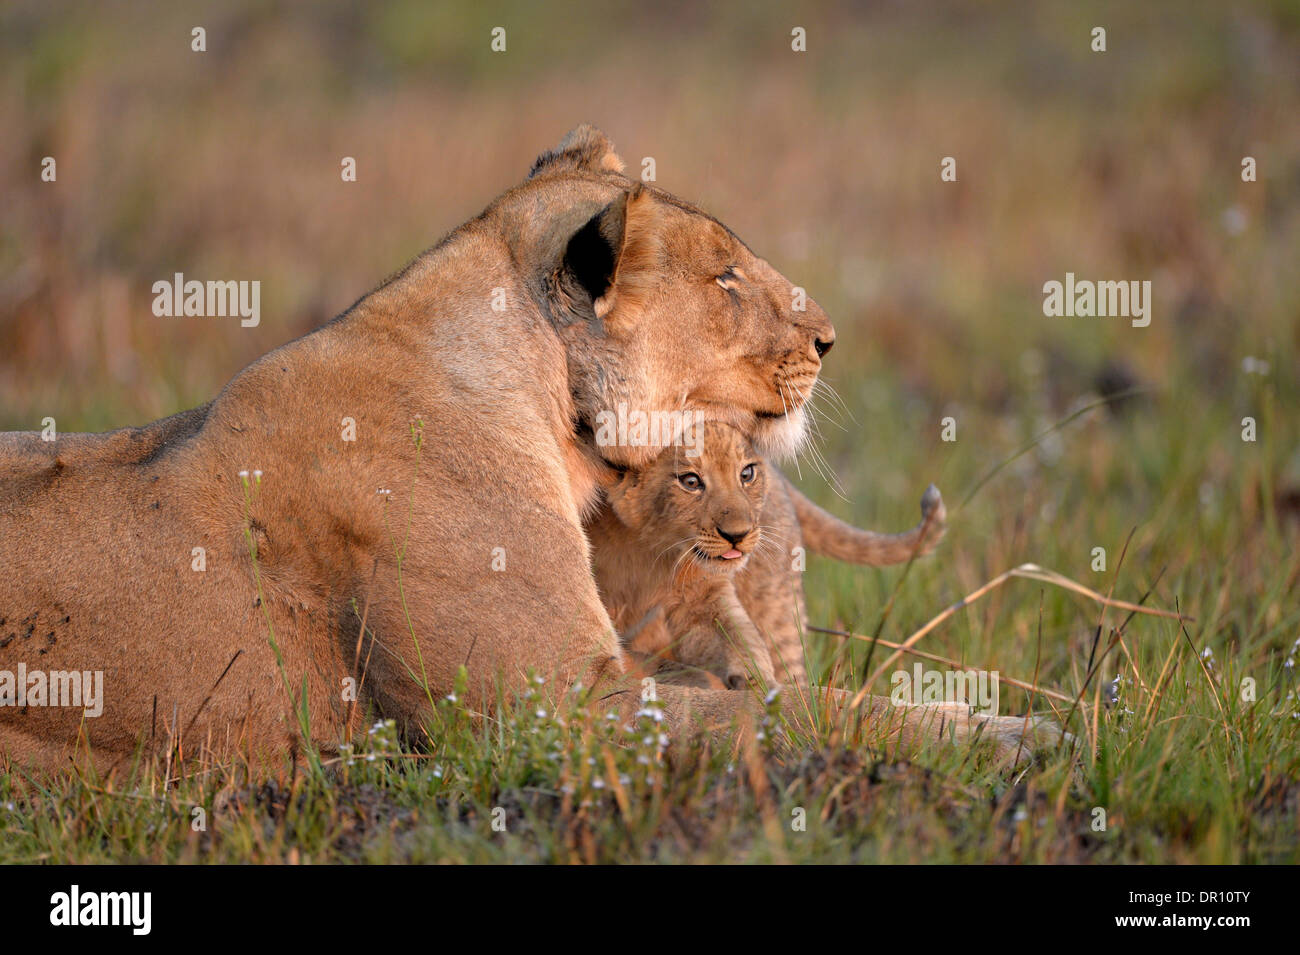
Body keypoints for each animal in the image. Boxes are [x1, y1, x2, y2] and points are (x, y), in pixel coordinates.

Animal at [588, 421, 945, 690]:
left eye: (746, 474)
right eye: (690, 481)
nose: (738, 535)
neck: (647, 547)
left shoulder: (703, 594)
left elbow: (734, 633)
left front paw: (756, 680)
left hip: (778, 608)